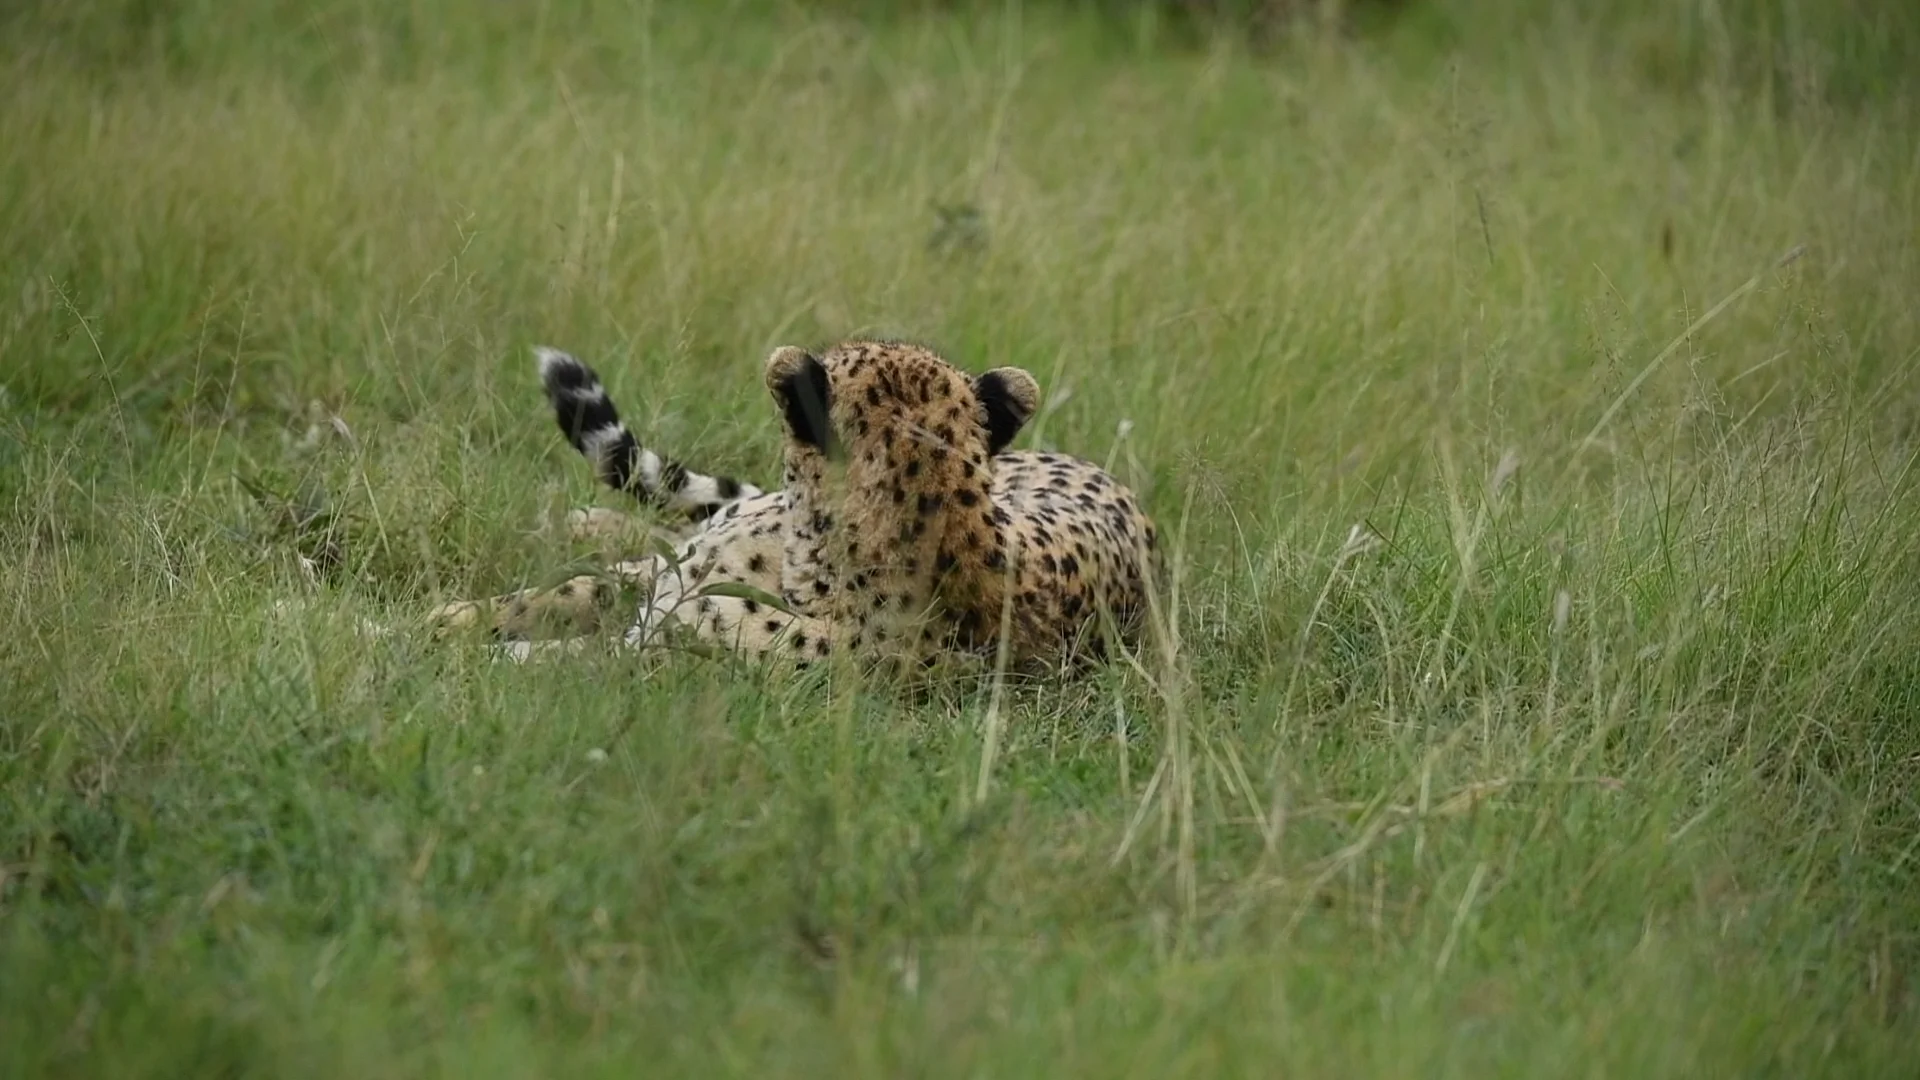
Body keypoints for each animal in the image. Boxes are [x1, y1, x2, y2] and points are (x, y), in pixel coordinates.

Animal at [429, 339, 1160, 673]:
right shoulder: (662, 582)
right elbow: (554, 594)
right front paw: (436, 623)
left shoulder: (664, 652)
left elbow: (569, 655)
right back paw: (578, 519)